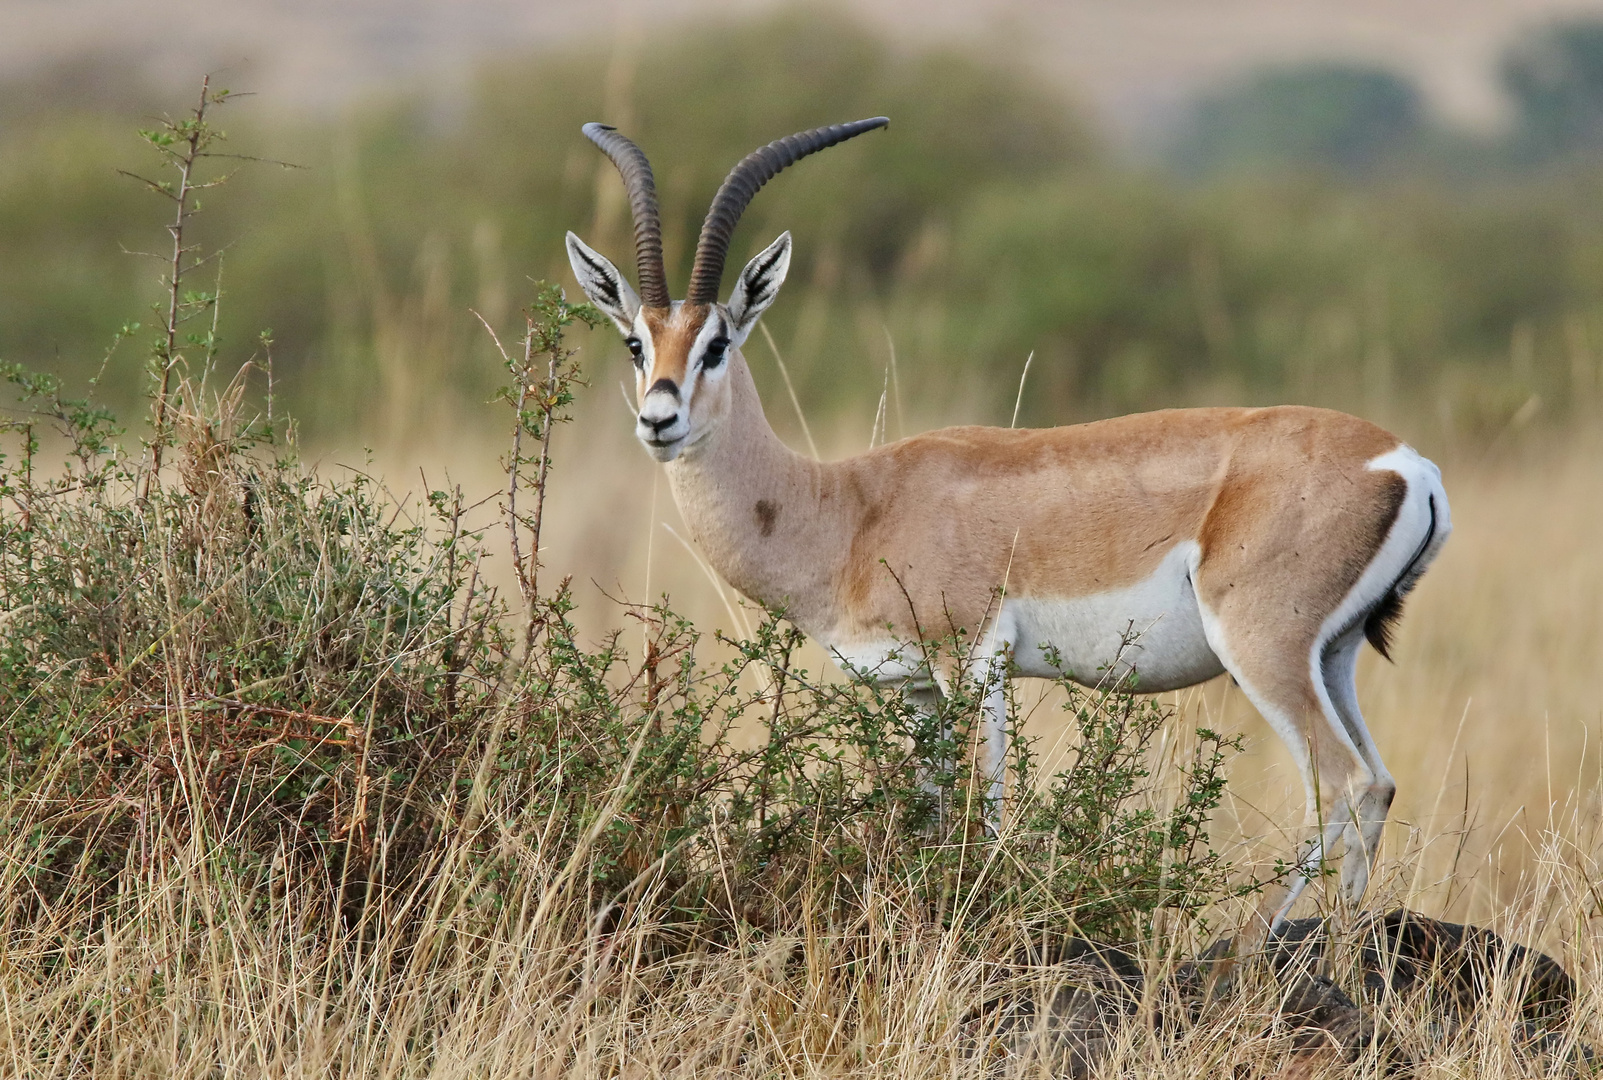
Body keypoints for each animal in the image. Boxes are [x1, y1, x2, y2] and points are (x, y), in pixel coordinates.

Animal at [565, 118, 1450, 930]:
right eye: (635, 342)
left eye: (716, 343)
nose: (659, 419)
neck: (848, 509)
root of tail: (1404, 462)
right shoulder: (915, 689)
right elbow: (927, 813)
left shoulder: (973, 664)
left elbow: (982, 814)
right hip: (1332, 654)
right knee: (1376, 783)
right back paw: (1344, 939)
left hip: (1261, 647)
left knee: (1340, 781)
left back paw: (1250, 943)